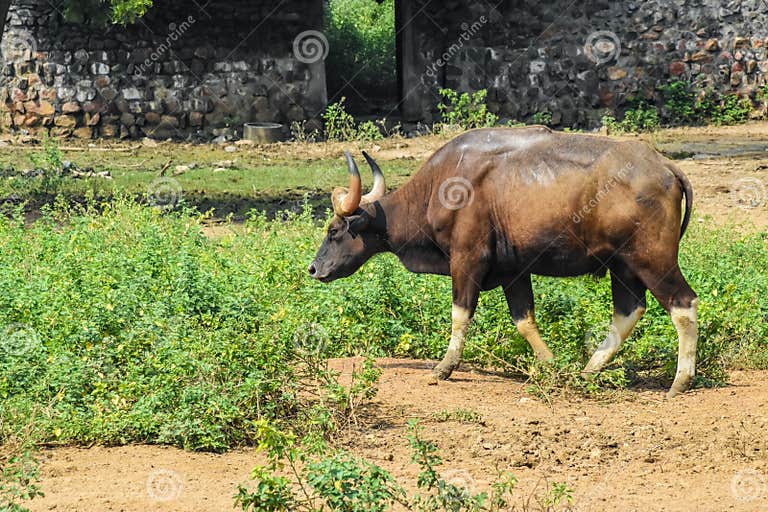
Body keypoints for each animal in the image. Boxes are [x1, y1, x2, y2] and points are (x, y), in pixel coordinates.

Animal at [308, 126, 698, 397]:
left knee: (684, 303)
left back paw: (681, 381)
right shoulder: (515, 270)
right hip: (622, 267)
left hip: (651, 260)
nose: (313, 269)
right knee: (629, 311)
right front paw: (551, 366)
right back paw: (588, 371)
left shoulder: (466, 259)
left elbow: (460, 313)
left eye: (333, 230)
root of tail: (665, 166)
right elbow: (524, 320)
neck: (442, 183)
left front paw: (445, 367)